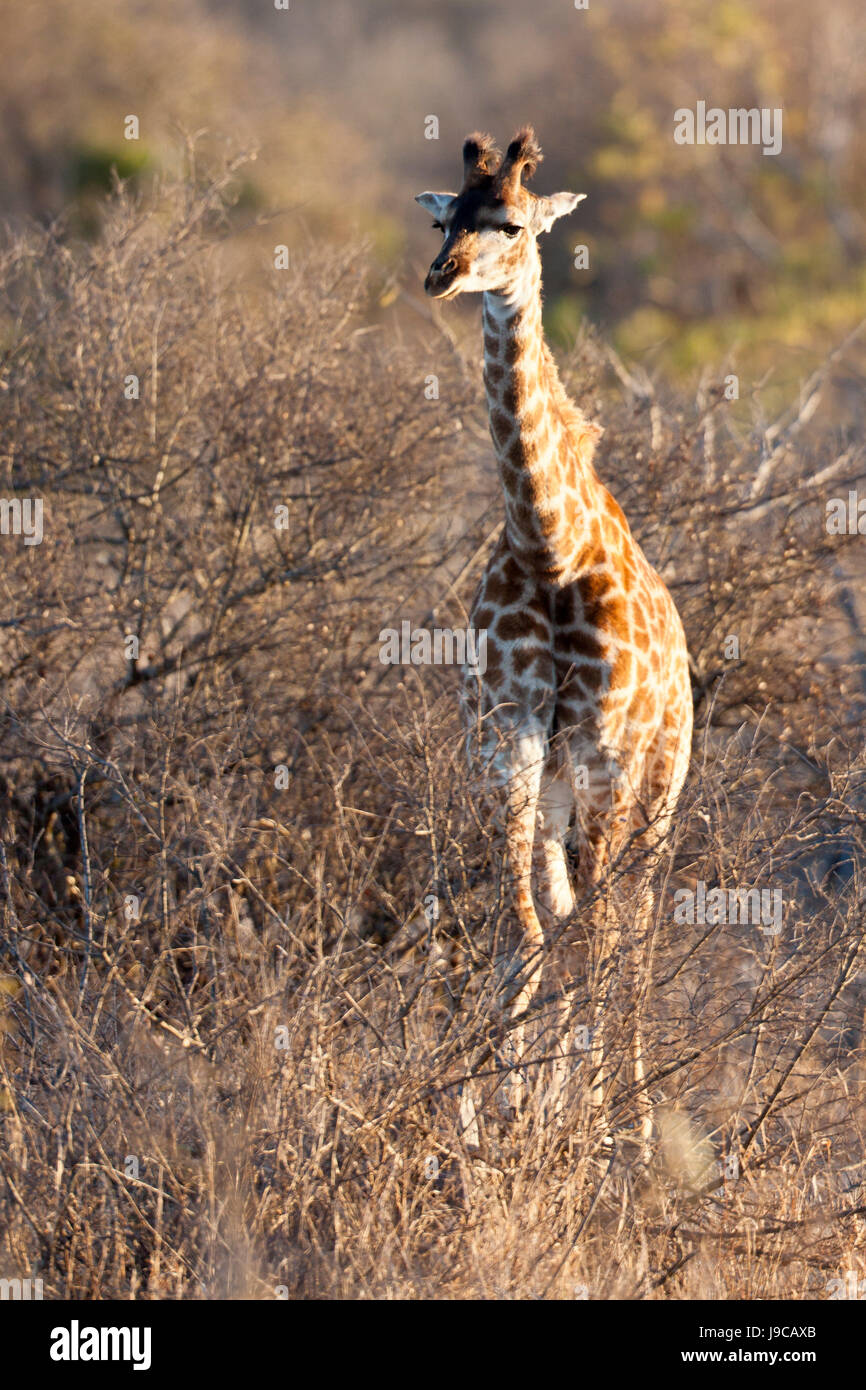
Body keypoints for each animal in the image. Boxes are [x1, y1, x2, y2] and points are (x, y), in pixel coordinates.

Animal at [415, 129, 693, 1143]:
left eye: (512, 223)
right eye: (445, 218)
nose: (441, 277)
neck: (549, 542)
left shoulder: (608, 751)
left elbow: (599, 943)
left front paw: (604, 1138)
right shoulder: (509, 740)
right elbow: (525, 936)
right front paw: (499, 1116)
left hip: (659, 785)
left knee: (634, 932)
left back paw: (634, 1120)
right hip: (560, 790)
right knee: (568, 913)